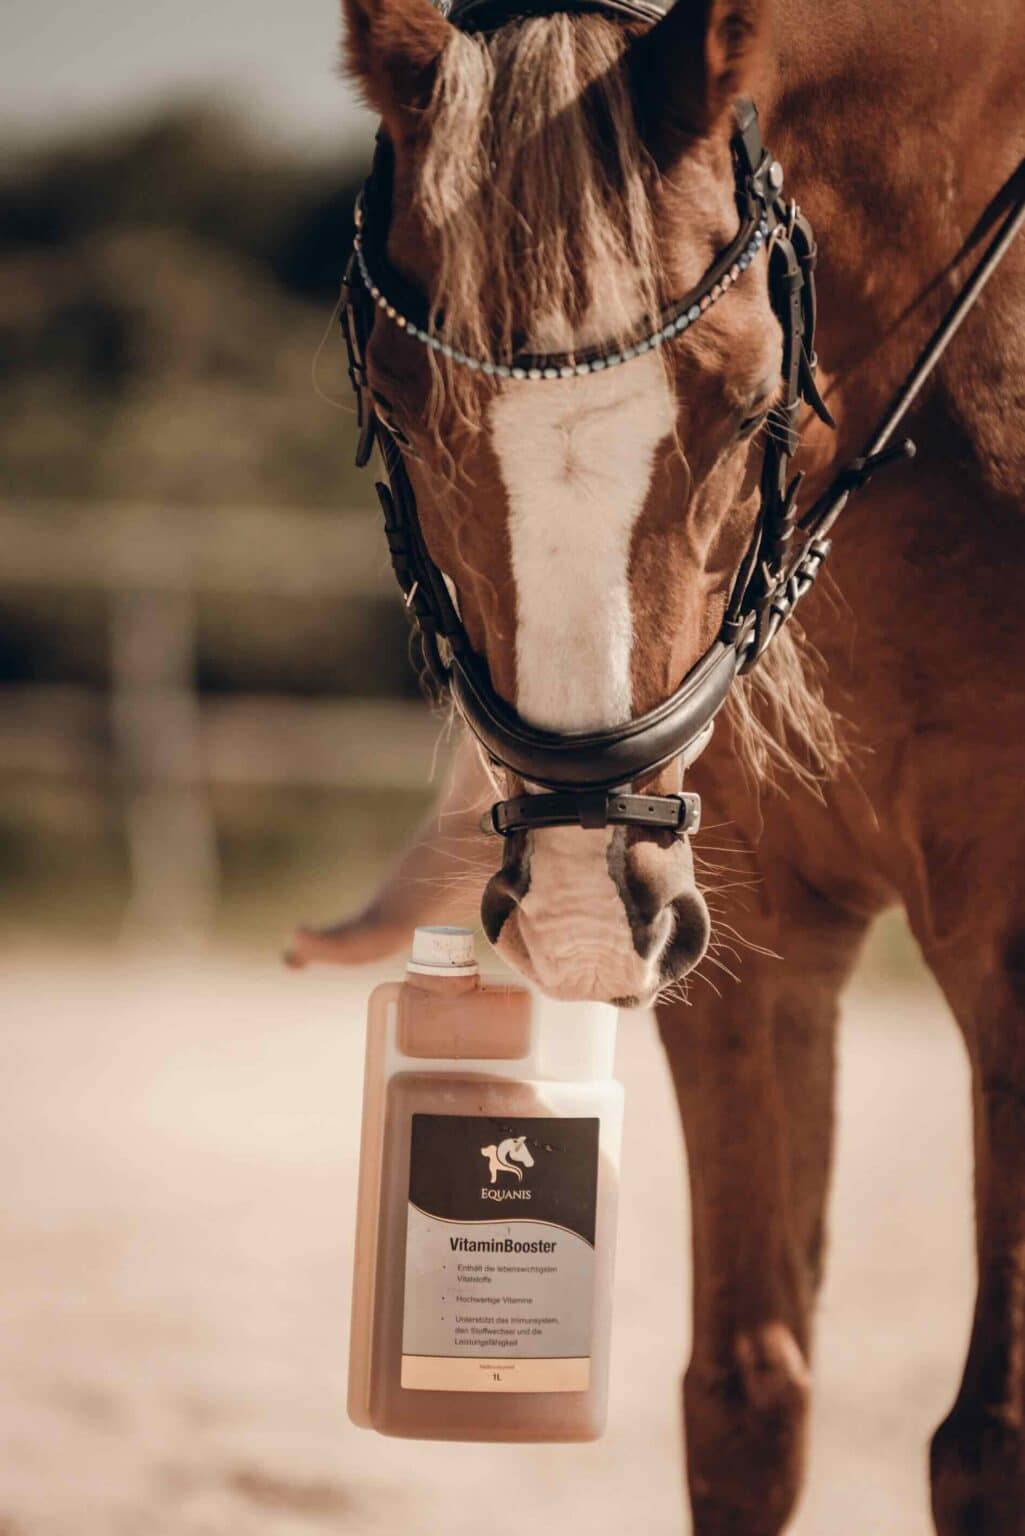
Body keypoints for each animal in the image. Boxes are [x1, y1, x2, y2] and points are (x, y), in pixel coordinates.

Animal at [287, 0, 1025, 1527]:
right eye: (398, 410)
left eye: (749, 405)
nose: (572, 918)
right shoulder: (747, 936)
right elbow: (741, 1400)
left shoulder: (1010, 938)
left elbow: (988, 1440)